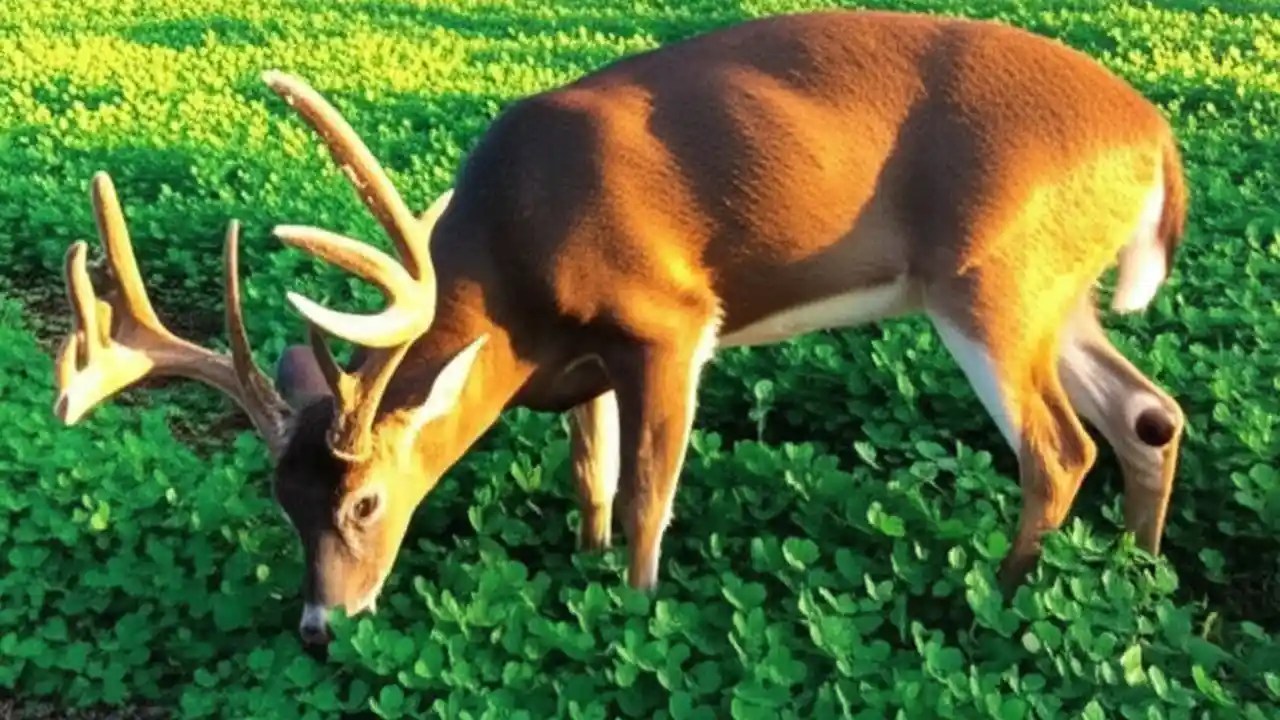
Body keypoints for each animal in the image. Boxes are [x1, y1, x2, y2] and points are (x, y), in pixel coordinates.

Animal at [51, 9, 1189, 647]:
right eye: (280, 501)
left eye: (365, 501)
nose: (322, 631)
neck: (515, 262)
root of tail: (1154, 138)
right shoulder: (581, 360)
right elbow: (590, 476)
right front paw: (586, 570)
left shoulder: (672, 320)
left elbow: (650, 493)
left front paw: (636, 607)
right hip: (1058, 290)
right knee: (1148, 413)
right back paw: (1138, 575)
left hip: (991, 280)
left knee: (1060, 446)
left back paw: (1000, 600)